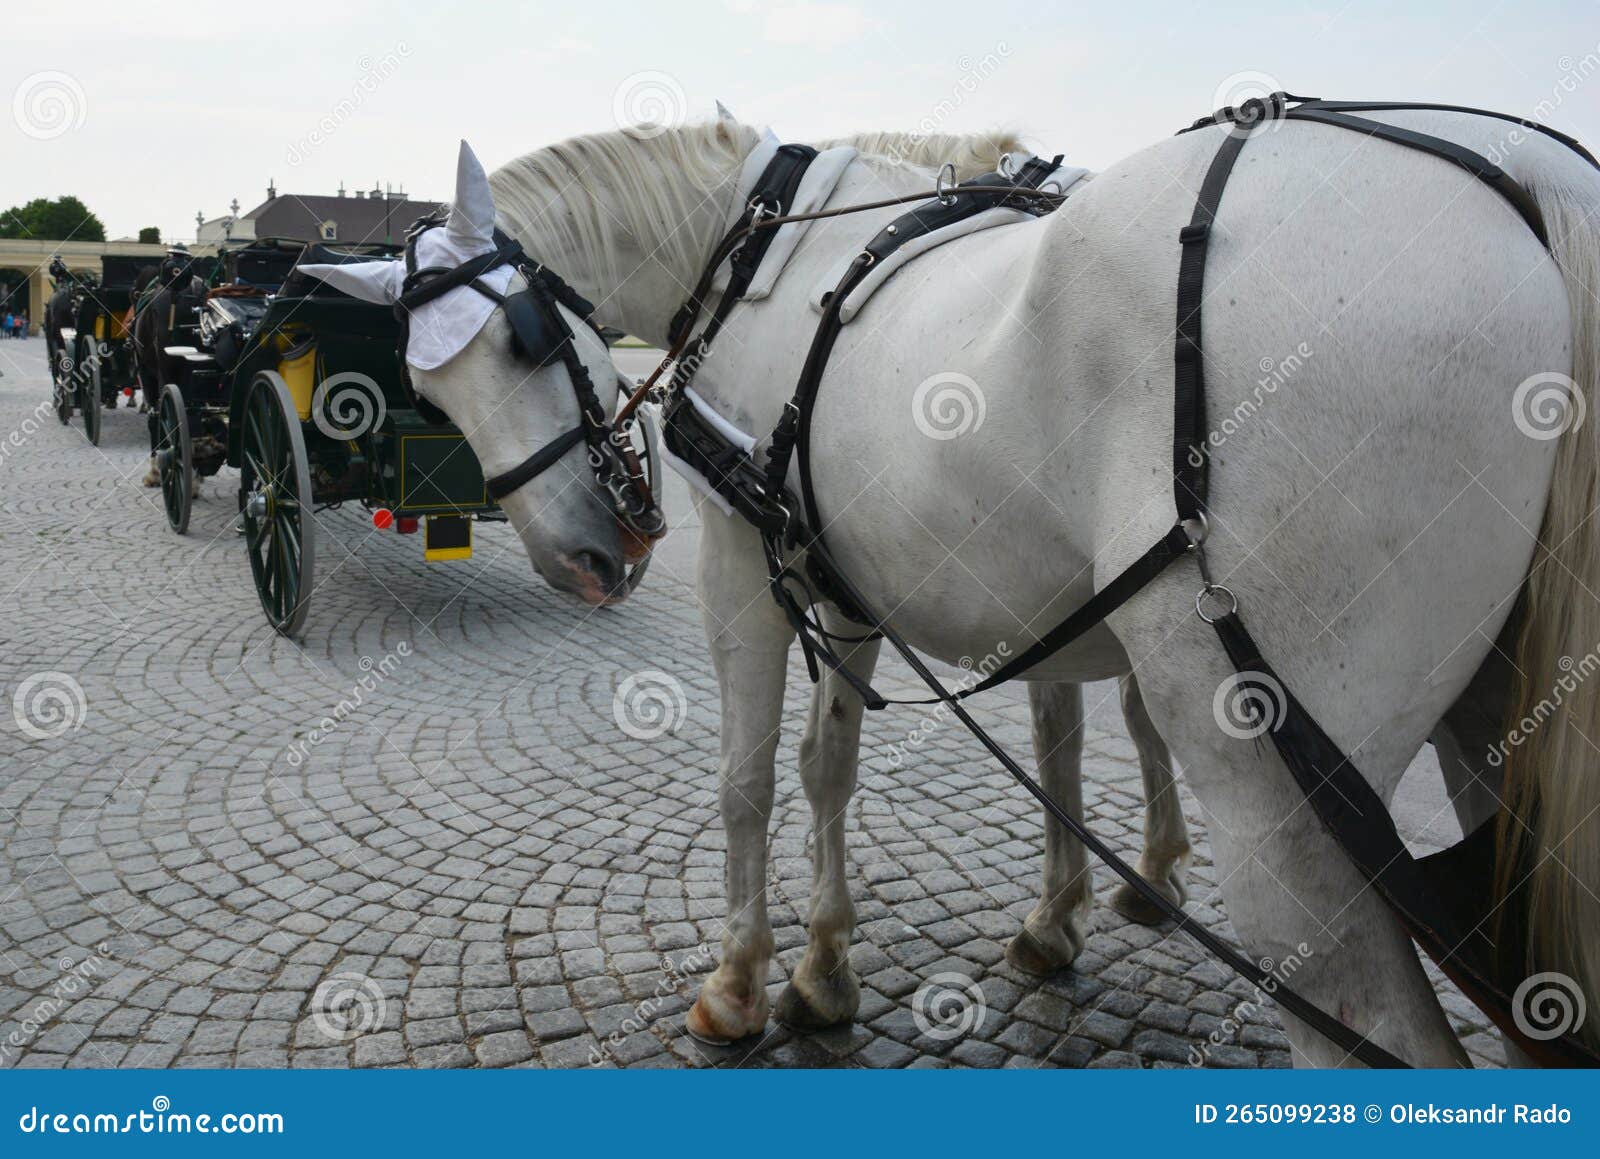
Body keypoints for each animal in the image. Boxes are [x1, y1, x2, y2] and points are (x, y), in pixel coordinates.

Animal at [303, 109, 1600, 1067]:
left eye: (524, 340)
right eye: (429, 392)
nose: (582, 559)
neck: (761, 254)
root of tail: (1525, 177)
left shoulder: (742, 562)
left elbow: (747, 777)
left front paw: (739, 983)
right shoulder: (845, 577)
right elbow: (836, 762)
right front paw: (830, 968)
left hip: (1275, 784)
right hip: (1491, 744)